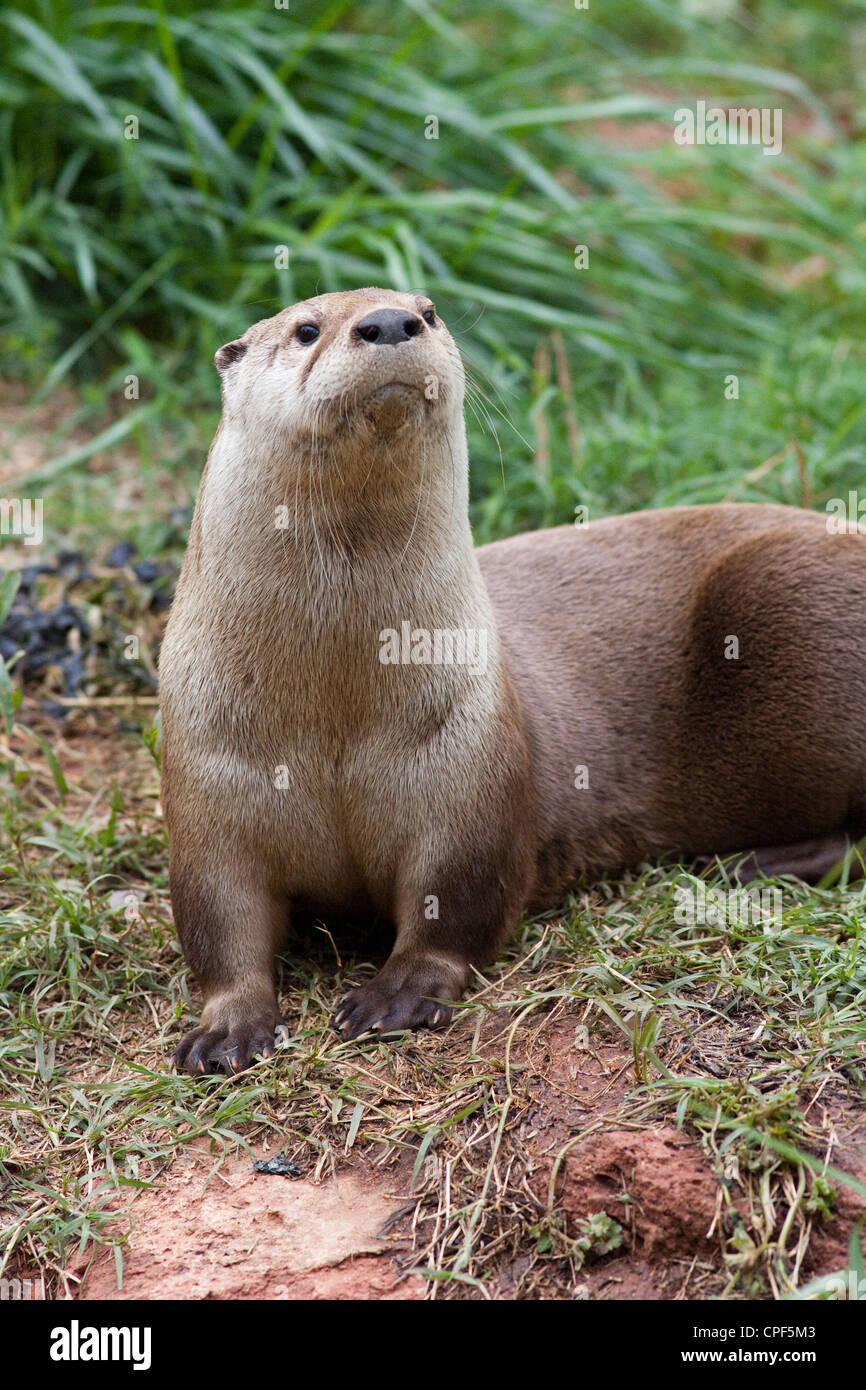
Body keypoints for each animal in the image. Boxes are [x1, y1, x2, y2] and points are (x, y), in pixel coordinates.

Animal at [159, 287, 866, 1074]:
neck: (333, 721)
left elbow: (459, 903)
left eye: (428, 309)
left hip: (786, 591)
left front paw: (396, 994)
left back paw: (754, 864)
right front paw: (228, 1028)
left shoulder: (471, 771)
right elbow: (219, 924)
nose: (389, 321)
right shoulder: (208, 783)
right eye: (306, 329)